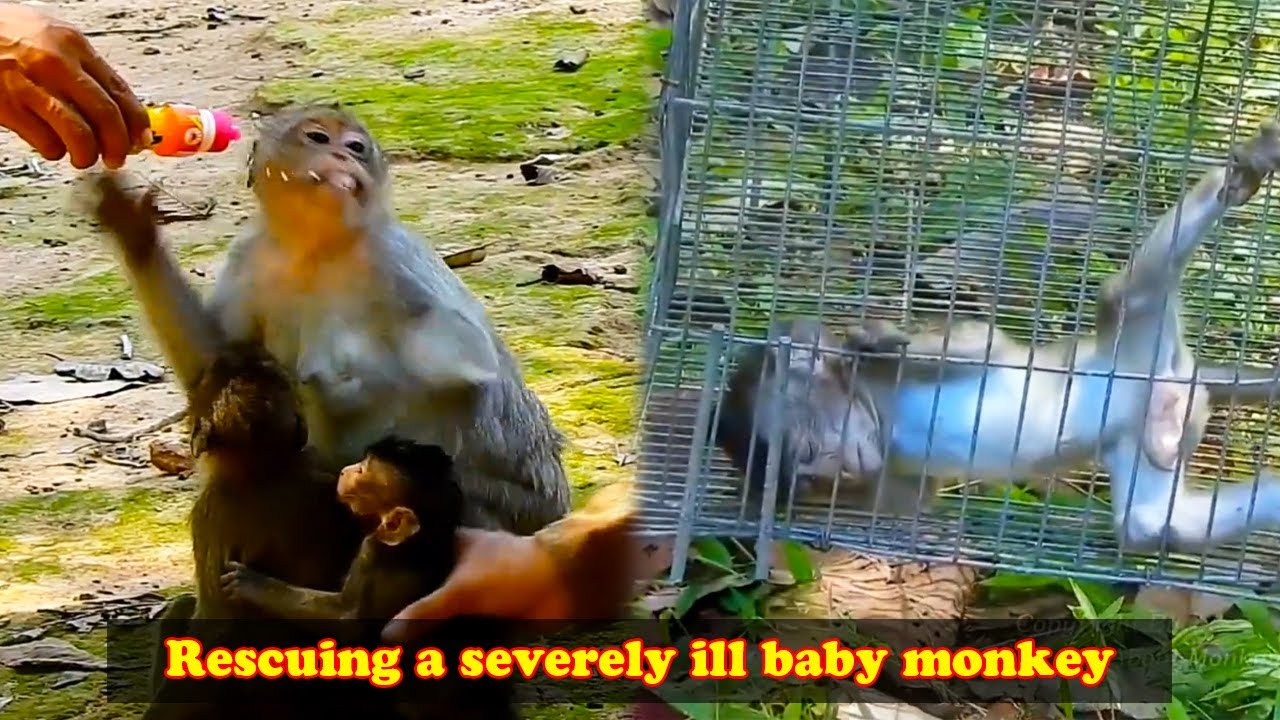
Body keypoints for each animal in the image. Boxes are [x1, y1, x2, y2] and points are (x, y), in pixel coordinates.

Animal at [88, 103, 571, 537]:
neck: (315, 246)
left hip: (512, 506)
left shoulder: (394, 256)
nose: (342, 158)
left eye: (355, 147)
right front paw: (136, 234)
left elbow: (467, 359)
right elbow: (216, 365)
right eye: (318, 138)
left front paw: (327, 382)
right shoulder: (252, 258)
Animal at [220, 436, 519, 720]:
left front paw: (251, 584)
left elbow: (350, 622)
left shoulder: (372, 549)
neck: (420, 544)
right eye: (361, 463)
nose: (345, 470)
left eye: (363, 471)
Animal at [716, 120, 1280, 554]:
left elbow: (975, 343)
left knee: (1128, 294)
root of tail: (1171, 376)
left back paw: (1247, 170)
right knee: (1151, 524)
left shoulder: (896, 366)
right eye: (807, 475)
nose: (835, 471)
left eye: (811, 446)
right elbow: (911, 502)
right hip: (1138, 433)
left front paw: (875, 337)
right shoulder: (889, 477)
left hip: (1138, 331)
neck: (882, 418)